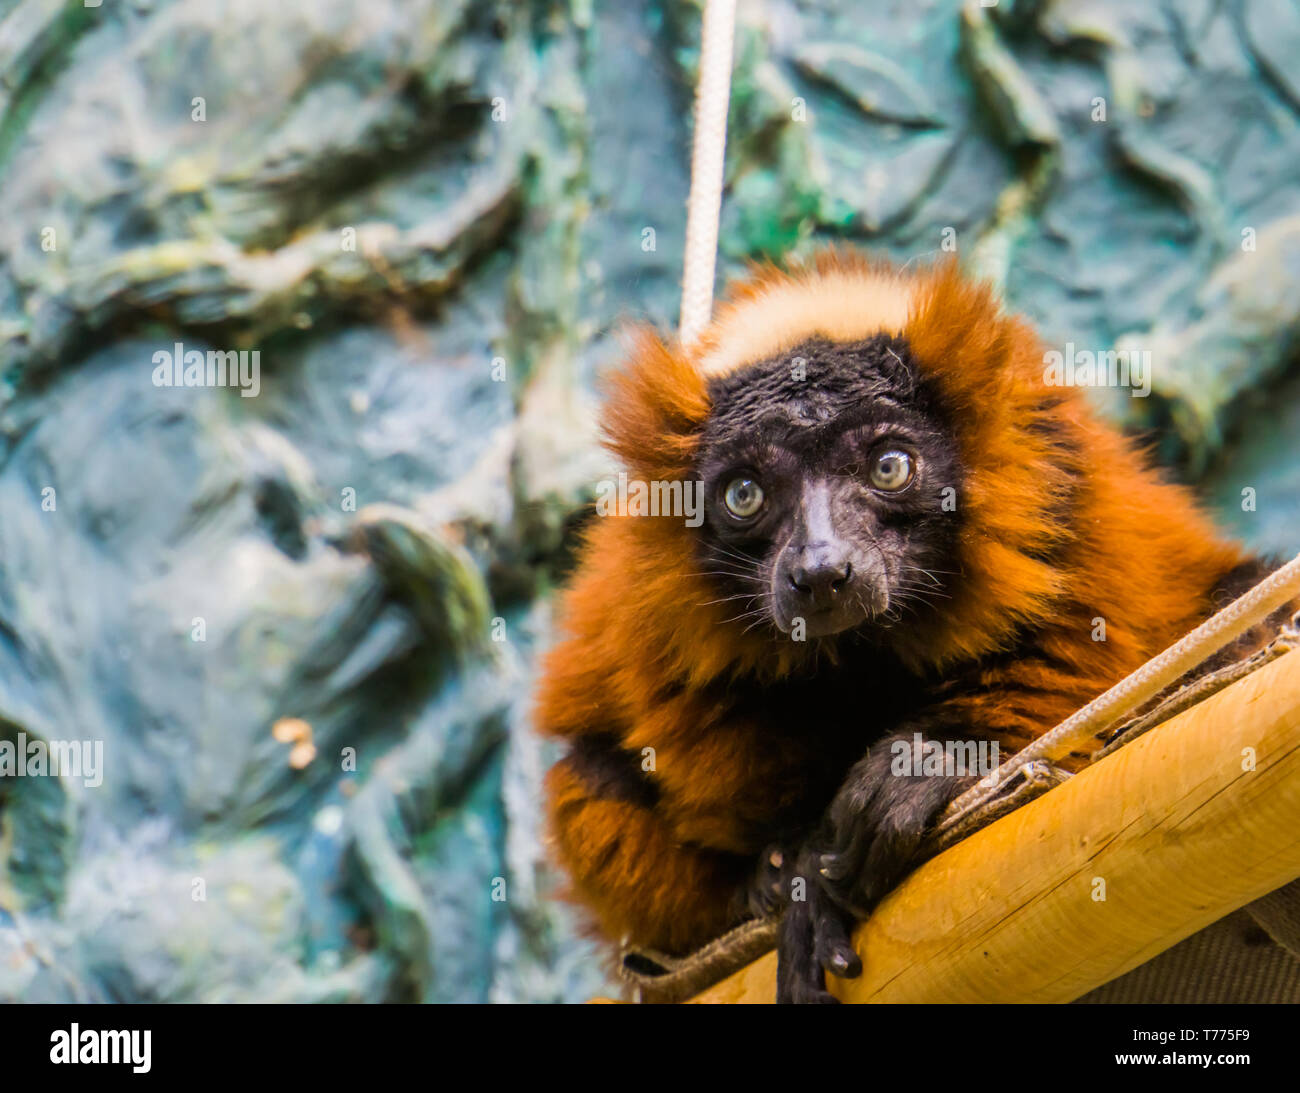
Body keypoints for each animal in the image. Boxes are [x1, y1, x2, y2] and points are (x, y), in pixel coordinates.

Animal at [533, 249, 1291, 1003]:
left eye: (889, 467)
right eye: (744, 494)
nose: (820, 571)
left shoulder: (1053, 474)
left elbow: (1086, 633)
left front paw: (929, 760)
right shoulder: (654, 582)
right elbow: (687, 705)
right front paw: (792, 858)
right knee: (591, 771)